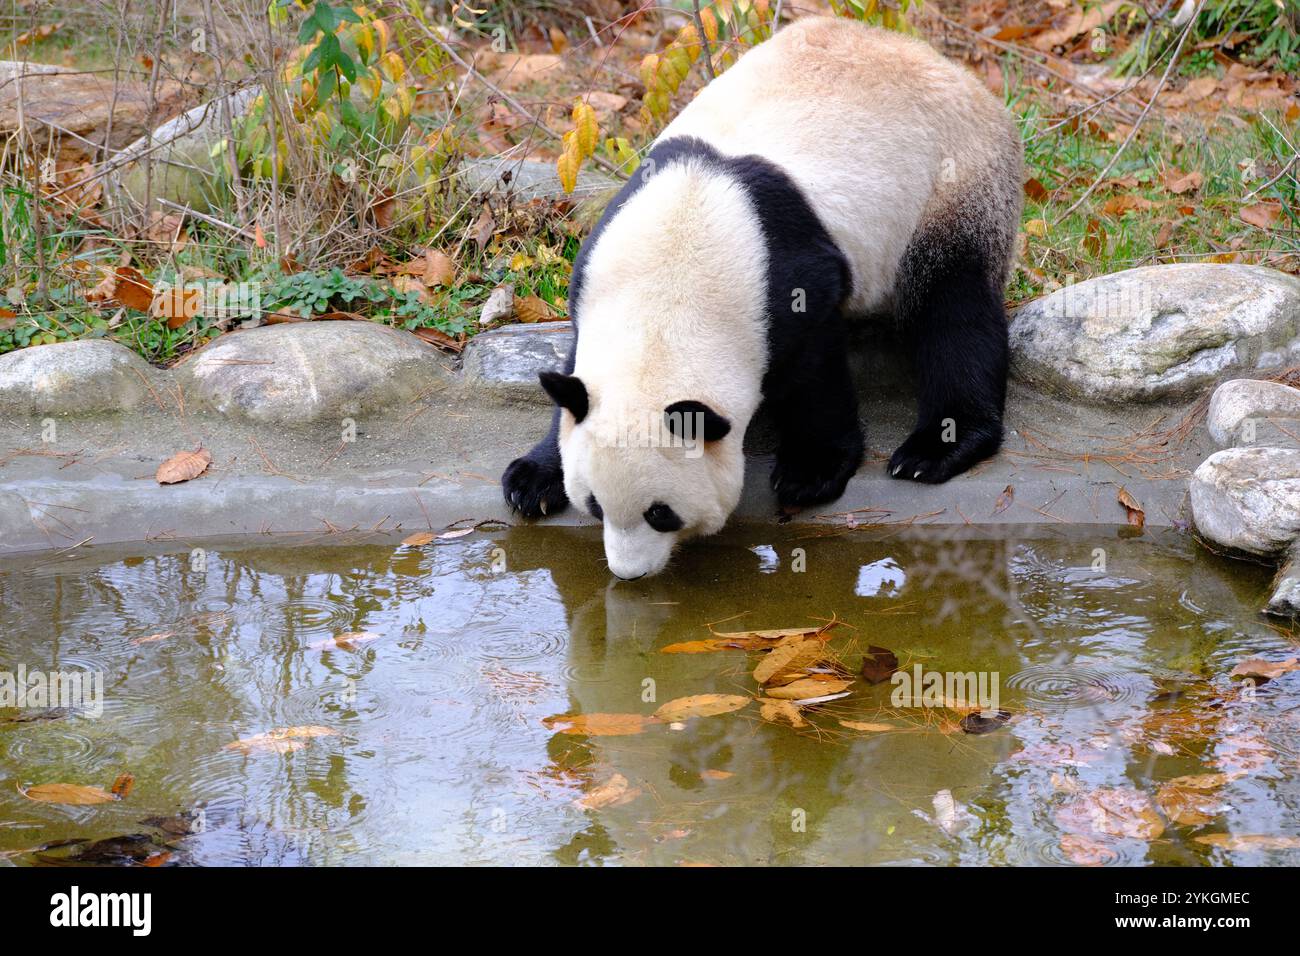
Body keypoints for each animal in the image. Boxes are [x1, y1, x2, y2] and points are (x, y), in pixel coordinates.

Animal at [501, 16, 1023, 580]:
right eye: (595, 505)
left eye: (660, 514)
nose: (628, 573)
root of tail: (956, 72)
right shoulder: (595, 269)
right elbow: (572, 379)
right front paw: (533, 479)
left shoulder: (791, 280)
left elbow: (816, 375)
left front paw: (809, 472)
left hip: (953, 183)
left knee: (955, 307)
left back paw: (936, 448)